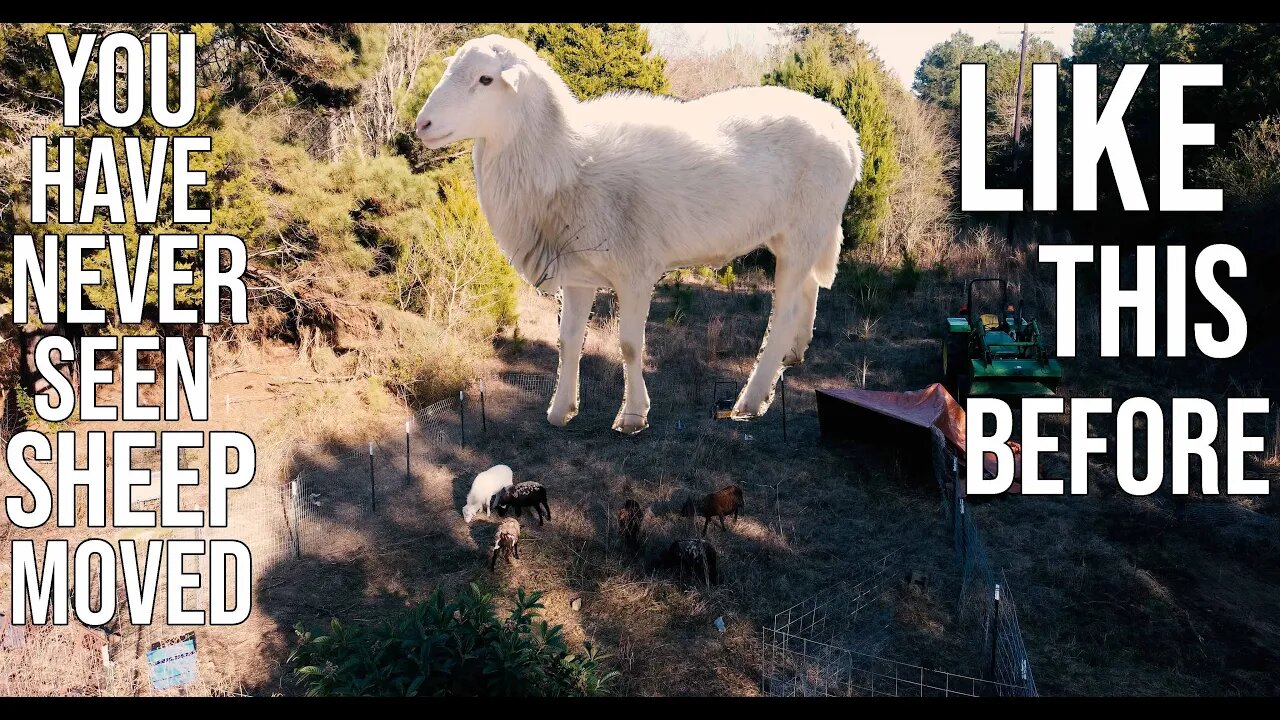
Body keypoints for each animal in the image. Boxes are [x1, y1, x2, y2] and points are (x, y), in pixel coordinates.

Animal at [415, 35, 862, 435]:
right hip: (799, 234)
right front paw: (561, 410)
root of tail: (844, 129)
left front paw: (632, 417)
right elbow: (568, 341)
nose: (422, 124)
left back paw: (750, 401)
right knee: (809, 289)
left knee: (784, 311)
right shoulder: (577, 272)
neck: (565, 159)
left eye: (485, 79)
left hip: (804, 229)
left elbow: (630, 345)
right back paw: (794, 353)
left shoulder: (635, 270)